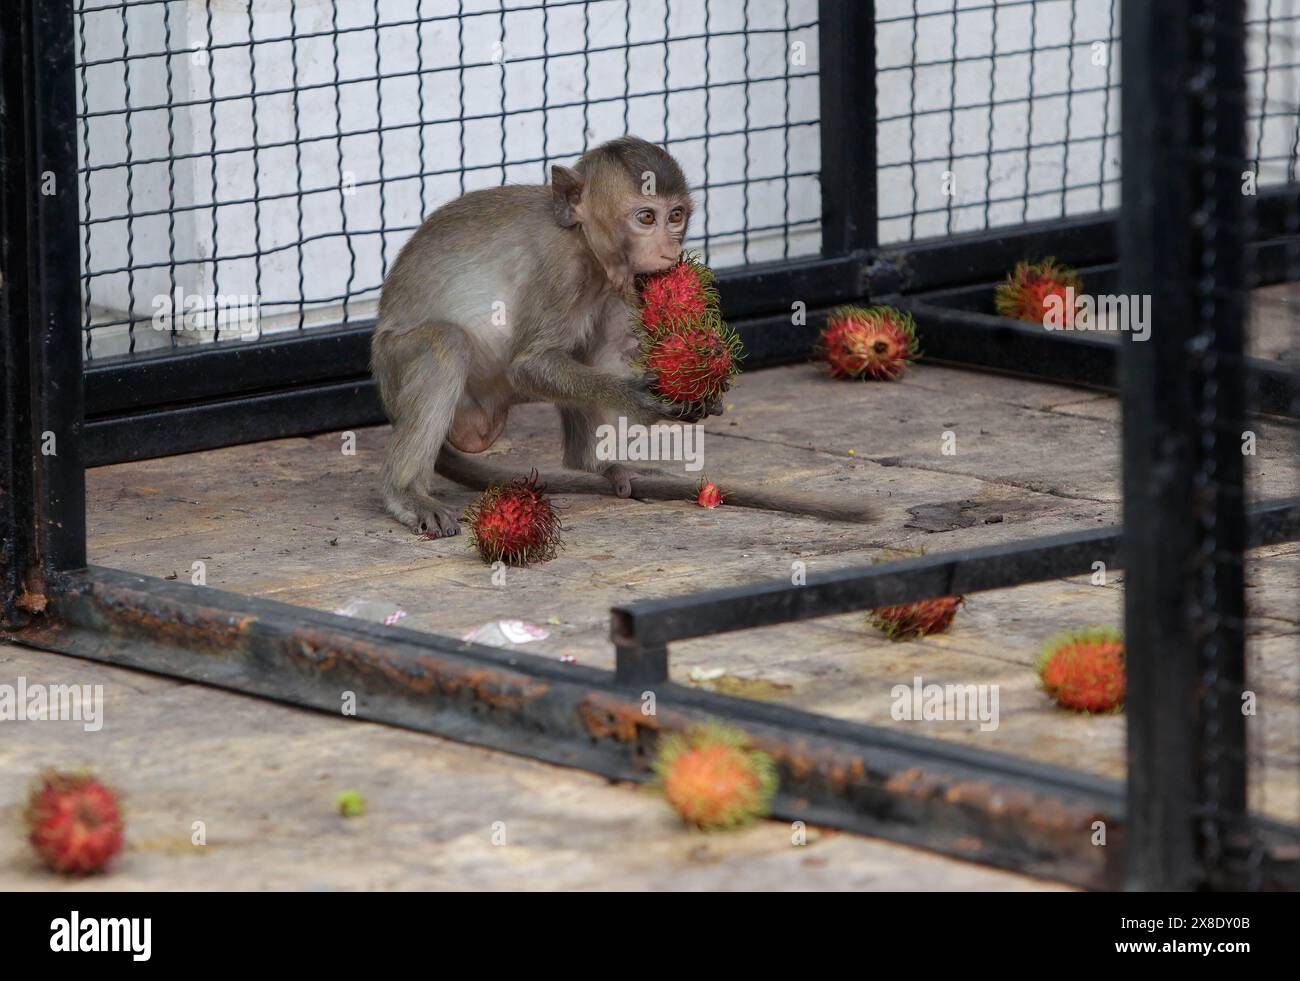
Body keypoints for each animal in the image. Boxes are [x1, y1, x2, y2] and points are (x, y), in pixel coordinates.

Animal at [371, 136, 875, 538]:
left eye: (676, 216)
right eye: (646, 217)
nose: (670, 249)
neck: (585, 244)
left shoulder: (620, 283)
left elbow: (604, 353)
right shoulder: (560, 269)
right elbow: (531, 363)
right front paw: (641, 397)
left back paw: (593, 467)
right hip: (396, 366)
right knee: (445, 344)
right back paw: (404, 493)